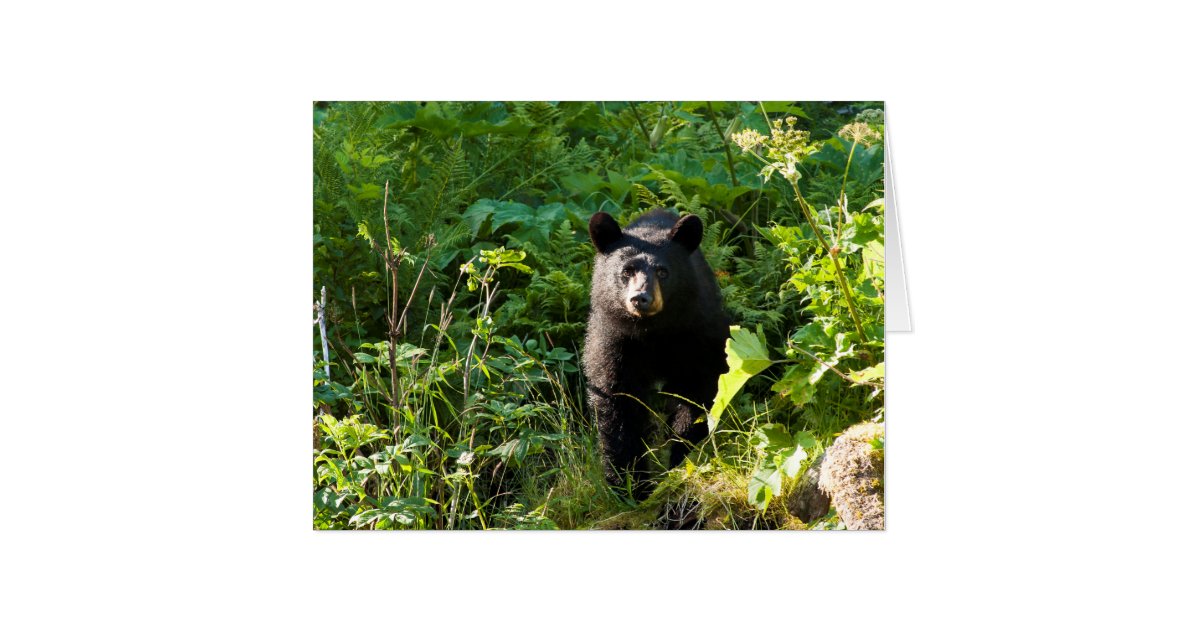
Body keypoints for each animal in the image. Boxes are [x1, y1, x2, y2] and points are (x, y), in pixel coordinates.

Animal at [582, 208, 731, 496]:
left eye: (663, 272)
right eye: (626, 271)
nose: (641, 298)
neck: (653, 332)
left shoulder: (698, 334)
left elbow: (698, 392)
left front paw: (681, 456)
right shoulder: (613, 341)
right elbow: (617, 402)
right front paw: (629, 484)